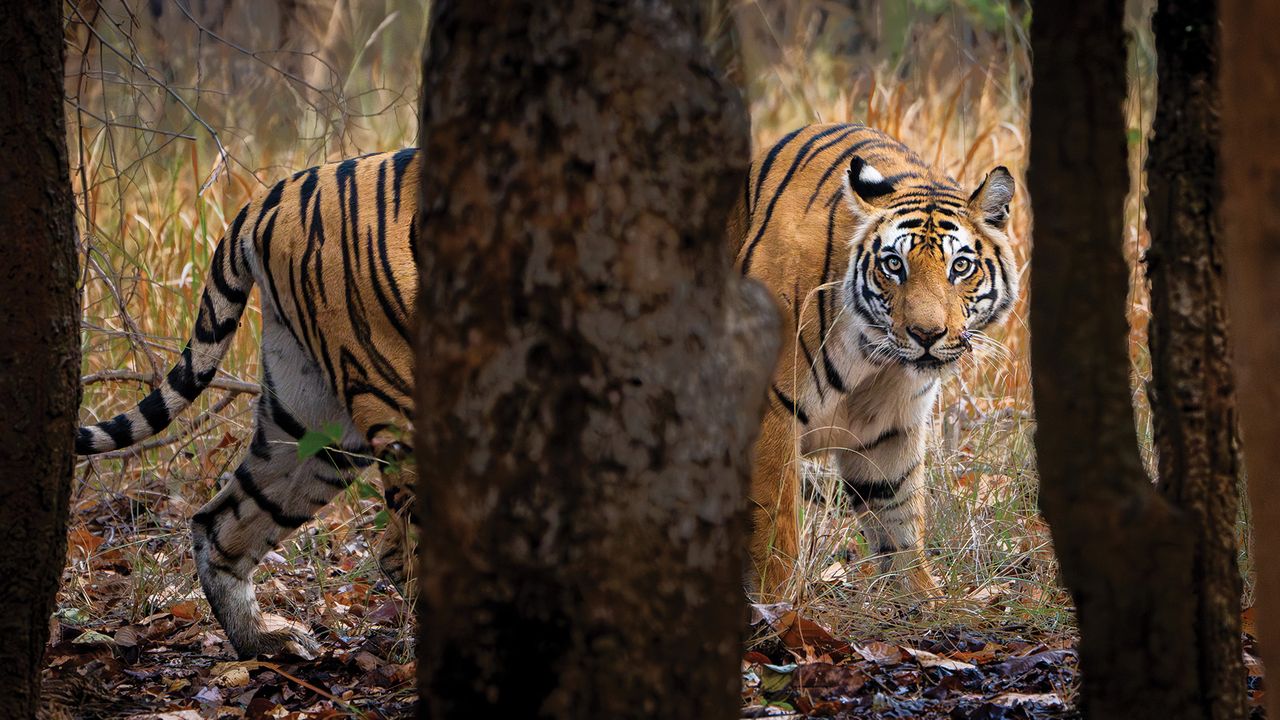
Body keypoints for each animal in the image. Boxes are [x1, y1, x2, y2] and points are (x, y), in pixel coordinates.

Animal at [732, 123, 1019, 600]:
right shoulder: (769, 410)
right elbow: (776, 529)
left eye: (960, 267)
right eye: (893, 265)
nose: (926, 334)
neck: (873, 356)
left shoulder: (889, 426)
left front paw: (922, 600)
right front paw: (780, 606)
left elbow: (897, 519)